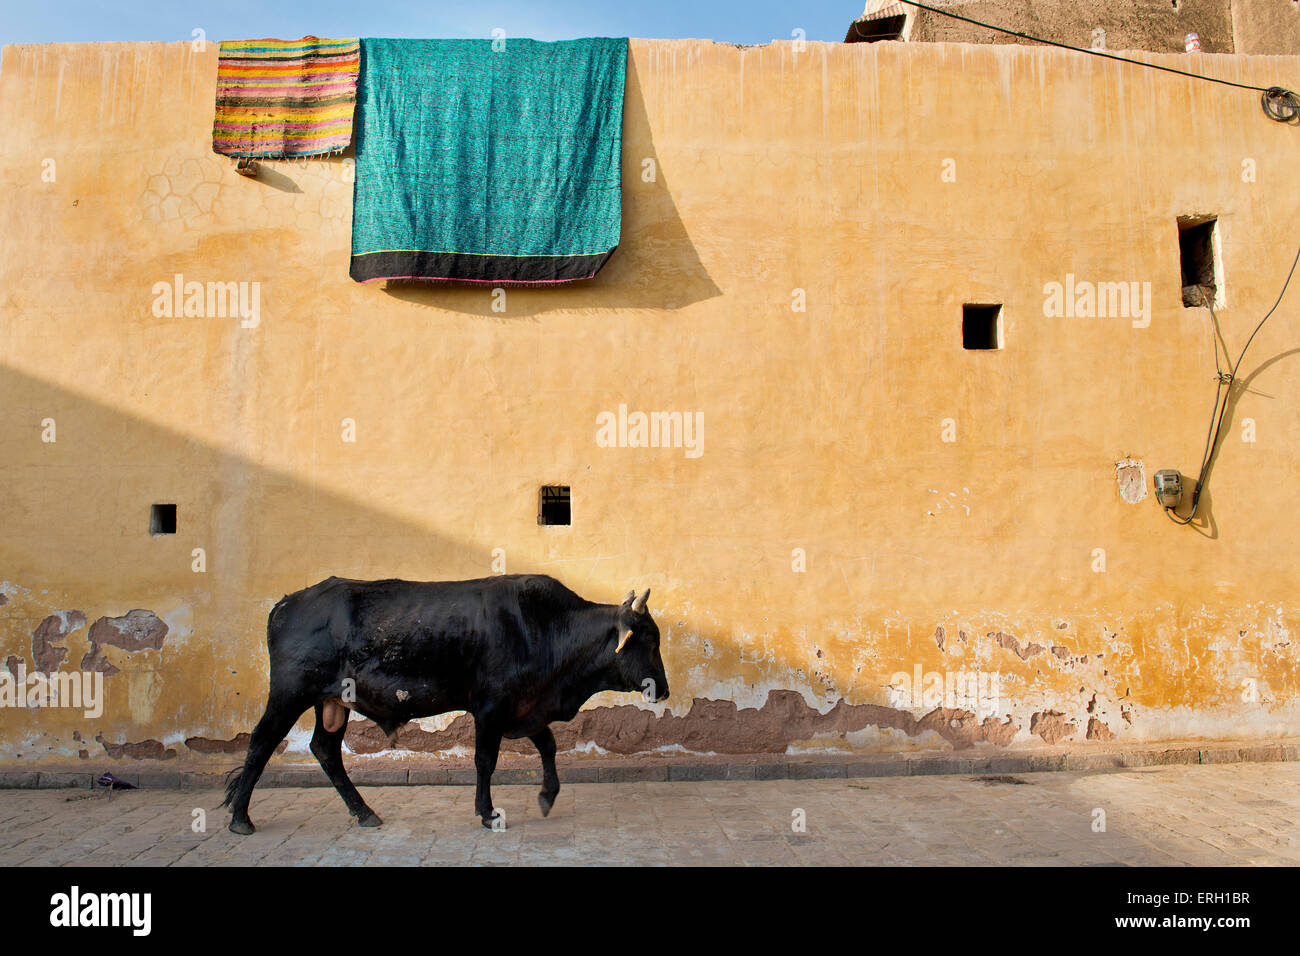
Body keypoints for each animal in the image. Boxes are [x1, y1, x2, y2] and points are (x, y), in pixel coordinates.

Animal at [221, 574, 668, 834]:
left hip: (332, 703)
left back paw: (364, 812)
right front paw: (488, 812)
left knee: (325, 749)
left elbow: (548, 746)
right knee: (261, 743)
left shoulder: (524, 709)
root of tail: (286, 602)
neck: (546, 628)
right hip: (289, 694)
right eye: (648, 639)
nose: (662, 689)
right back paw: (240, 818)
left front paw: (547, 795)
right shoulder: (491, 708)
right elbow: (485, 761)